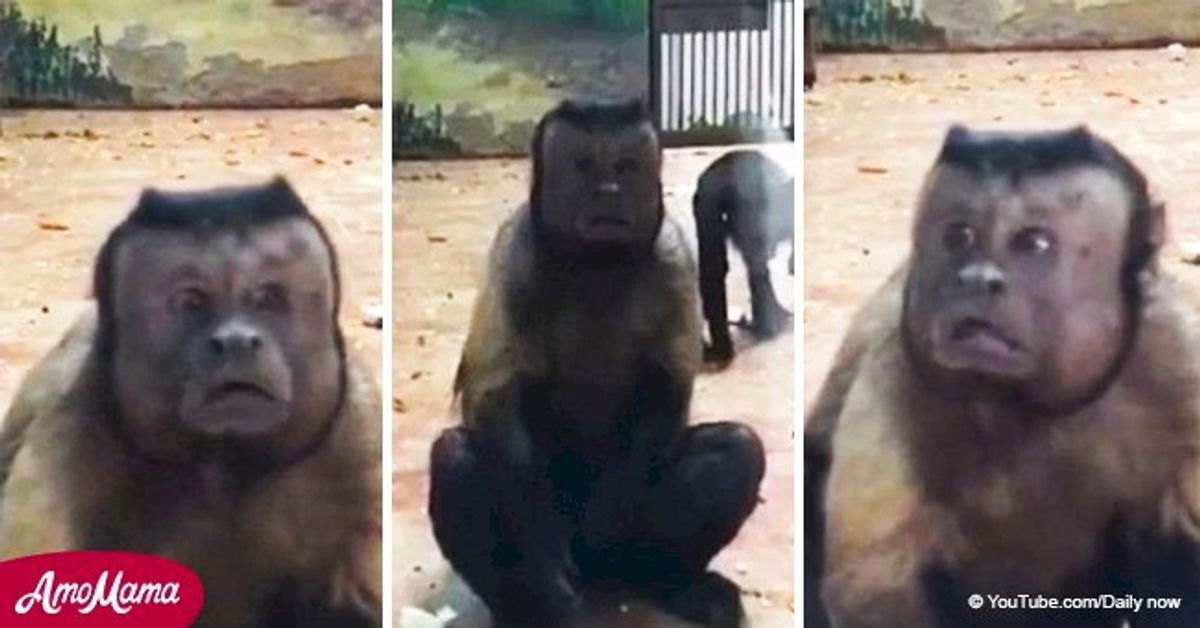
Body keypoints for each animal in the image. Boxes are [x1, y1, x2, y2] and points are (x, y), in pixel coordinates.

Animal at [0, 177, 382, 628]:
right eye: (192, 303)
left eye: (267, 298)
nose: (235, 341)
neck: (223, 468)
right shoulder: (69, 427)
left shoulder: (358, 434)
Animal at [427, 99, 767, 628]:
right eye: (585, 168)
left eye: (623, 168)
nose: (608, 192)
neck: (596, 264)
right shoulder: (517, 252)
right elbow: (493, 396)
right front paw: (544, 548)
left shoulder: (672, 256)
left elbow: (668, 388)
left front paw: (613, 510)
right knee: (456, 458)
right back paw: (536, 606)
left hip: (623, 554)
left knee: (737, 448)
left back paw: (673, 582)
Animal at [804, 126, 1200, 627]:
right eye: (959, 236)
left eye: (1032, 243)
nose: (975, 279)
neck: (1025, 404)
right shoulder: (897, 362)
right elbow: (875, 588)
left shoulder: (1179, 361)